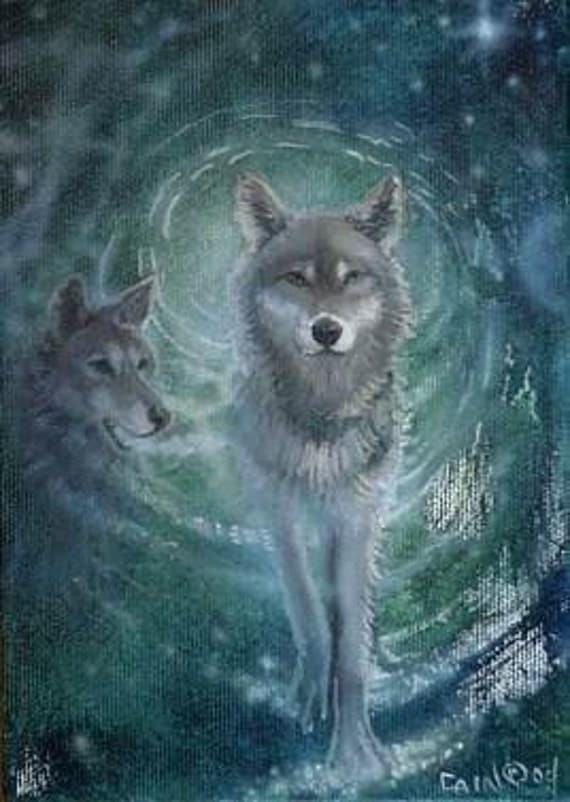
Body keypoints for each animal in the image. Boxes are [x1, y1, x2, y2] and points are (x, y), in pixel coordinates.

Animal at [231, 172, 413, 778]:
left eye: (351, 277)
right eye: (297, 279)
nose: (327, 330)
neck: (322, 414)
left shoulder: (356, 517)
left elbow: (350, 641)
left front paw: (356, 753)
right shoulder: (278, 509)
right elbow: (309, 611)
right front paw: (309, 694)